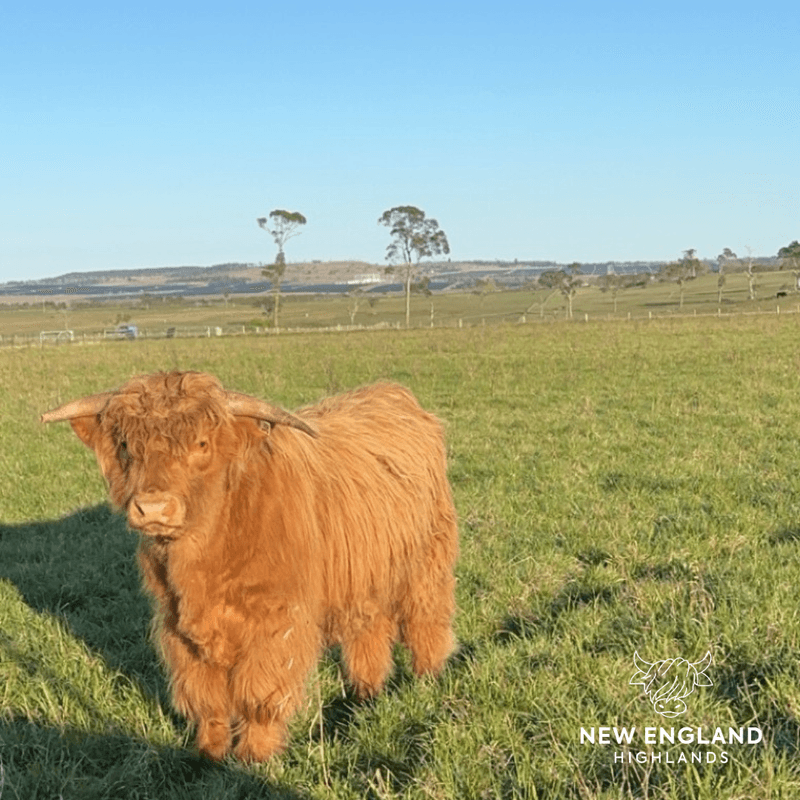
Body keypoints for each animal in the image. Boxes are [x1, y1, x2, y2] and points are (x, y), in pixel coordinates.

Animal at [41, 372, 459, 762]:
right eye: (127, 446)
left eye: (201, 444)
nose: (154, 508)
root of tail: (392, 394)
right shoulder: (177, 623)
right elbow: (205, 695)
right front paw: (209, 753)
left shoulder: (275, 623)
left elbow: (260, 692)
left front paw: (254, 756)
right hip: (367, 574)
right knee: (369, 629)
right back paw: (366, 693)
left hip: (428, 562)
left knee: (426, 619)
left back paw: (428, 678)